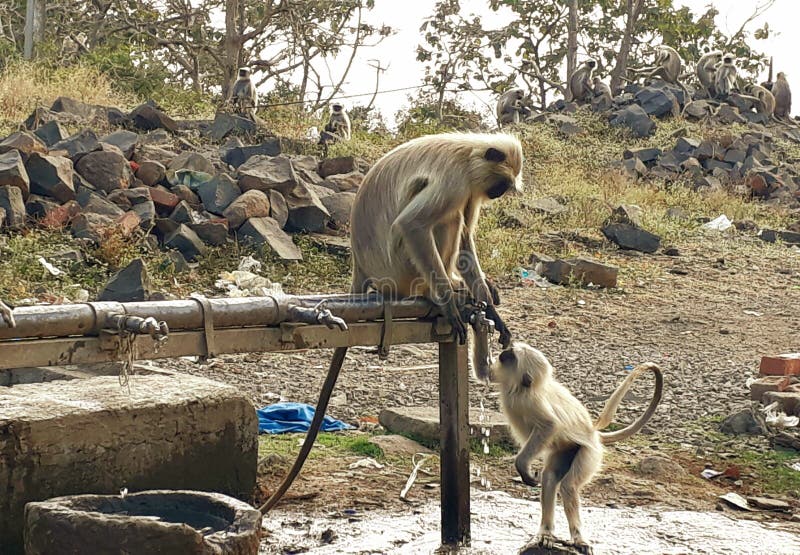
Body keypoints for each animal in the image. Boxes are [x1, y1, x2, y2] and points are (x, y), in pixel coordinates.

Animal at [350, 133, 524, 379]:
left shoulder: (471, 188)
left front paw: (491, 311)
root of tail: (361, 265)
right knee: (451, 218)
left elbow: (465, 239)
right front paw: (448, 304)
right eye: (502, 184)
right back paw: (439, 291)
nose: (498, 193)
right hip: (402, 271)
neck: (467, 155)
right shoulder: (456, 181)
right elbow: (411, 224)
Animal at [492, 342, 663, 554]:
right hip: (564, 450)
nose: (503, 351)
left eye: (512, 355)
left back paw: (578, 538)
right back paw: (546, 533)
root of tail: (594, 434)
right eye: (511, 350)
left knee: (569, 486)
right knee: (550, 478)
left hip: (589, 452)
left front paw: (522, 465)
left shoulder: (531, 401)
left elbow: (550, 426)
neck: (519, 390)